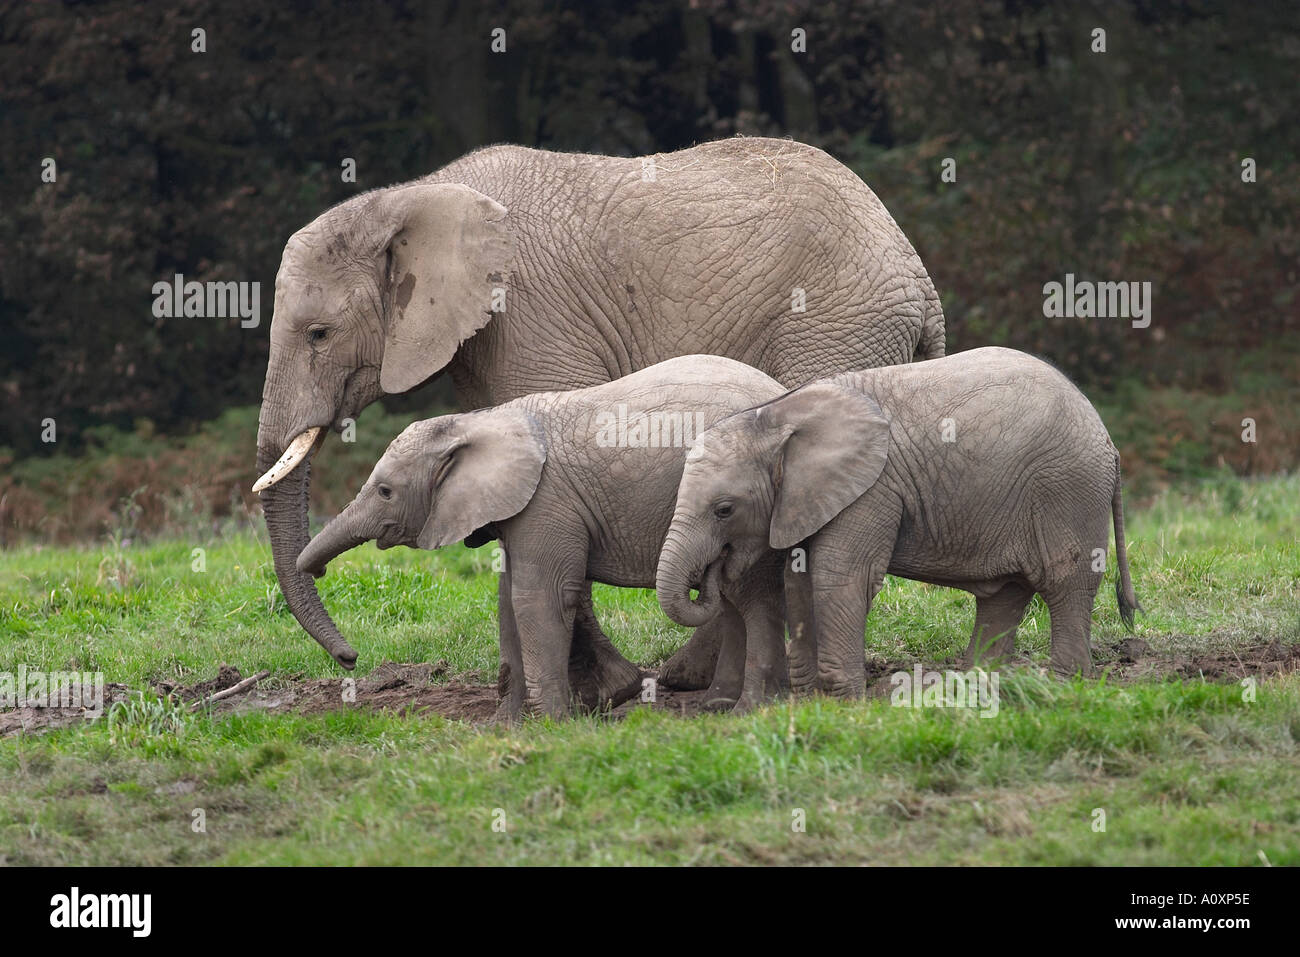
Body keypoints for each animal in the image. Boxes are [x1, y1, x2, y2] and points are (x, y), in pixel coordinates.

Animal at [296, 356, 791, 719]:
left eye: (384, 492)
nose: (350, 659)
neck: (479, 422)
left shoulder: (546, 501)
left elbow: (539, 595)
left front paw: (553, 724)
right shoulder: (521, 509)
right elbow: (508, 599)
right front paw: (507, 725)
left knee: (746, 593)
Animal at [657, 347, 1141, 692]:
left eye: (724, 509)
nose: (713, 571)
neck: (777, 417)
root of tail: (1107, 439)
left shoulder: (872, 489)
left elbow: (840, 574)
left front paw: (844, 697)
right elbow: (800, 577)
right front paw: (810, 694)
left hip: (1069, 488)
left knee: (1065, 580)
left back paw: (1062, 685)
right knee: (1007, 592)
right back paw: (976, 686)